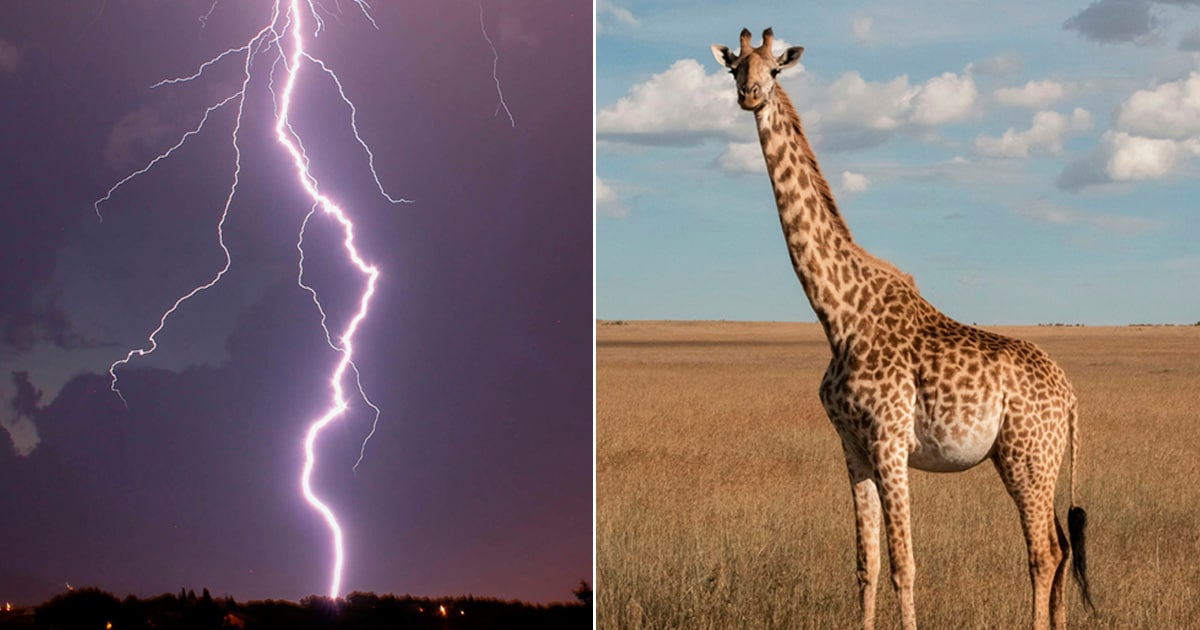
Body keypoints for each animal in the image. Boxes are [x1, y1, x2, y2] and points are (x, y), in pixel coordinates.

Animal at [711, 28, 1094, 630]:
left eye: (774, 70)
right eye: (734, 68)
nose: (749, 95)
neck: (838, 315)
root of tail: (1071, 395)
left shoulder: (890, 440)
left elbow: (903, 566)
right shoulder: (852, 444)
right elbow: (865, 566)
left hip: (1026, 455)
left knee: (1045, 551)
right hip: (1037, 460)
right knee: (1059, 545)